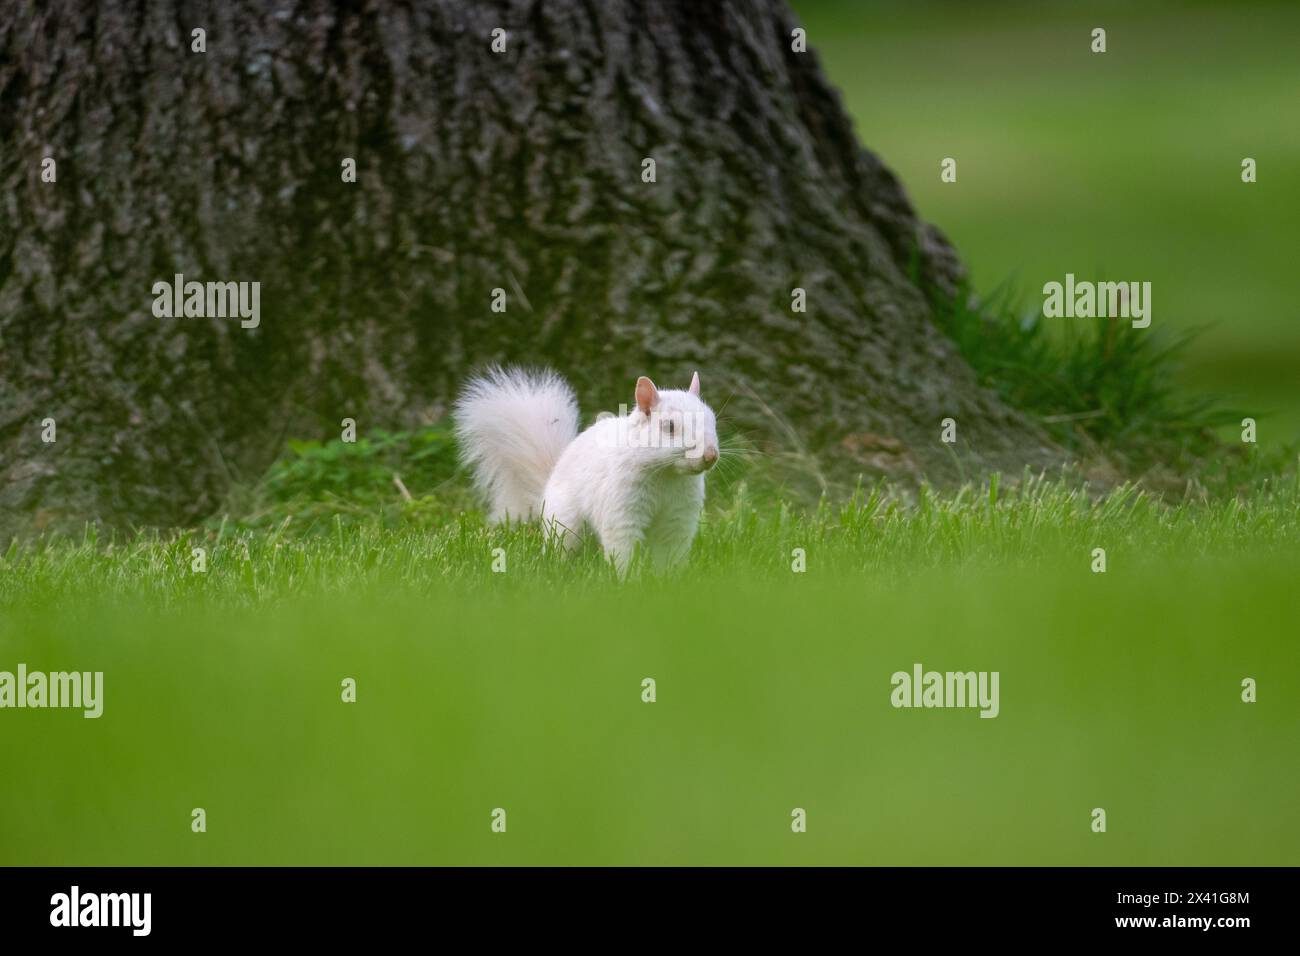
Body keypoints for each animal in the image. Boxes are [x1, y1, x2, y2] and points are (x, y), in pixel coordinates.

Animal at [454, 366, 720, 573]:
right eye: (669, 427)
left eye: (713, 420)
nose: (710, 455)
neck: (668, 475)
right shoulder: (622, 508)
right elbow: (622, 548)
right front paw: (629, 581)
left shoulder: (678, 519)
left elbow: (669, 555)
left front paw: (669, 581)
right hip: (565, 524)